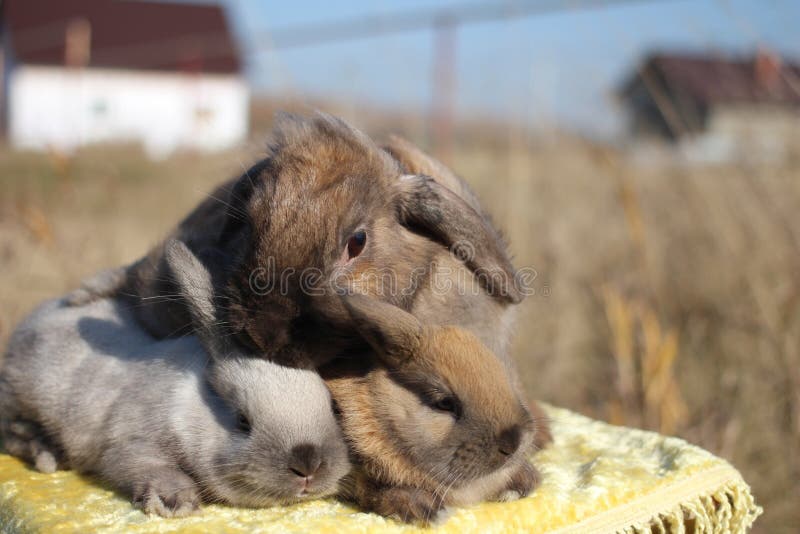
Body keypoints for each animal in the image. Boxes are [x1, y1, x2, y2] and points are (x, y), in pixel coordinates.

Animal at [0, 240, 350, 517]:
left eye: (333, 408)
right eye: (242, 421)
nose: (308, 466)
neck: (189, 408)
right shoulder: (130, 445)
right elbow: (149, 467)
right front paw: (174, 502)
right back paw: (44, 451)